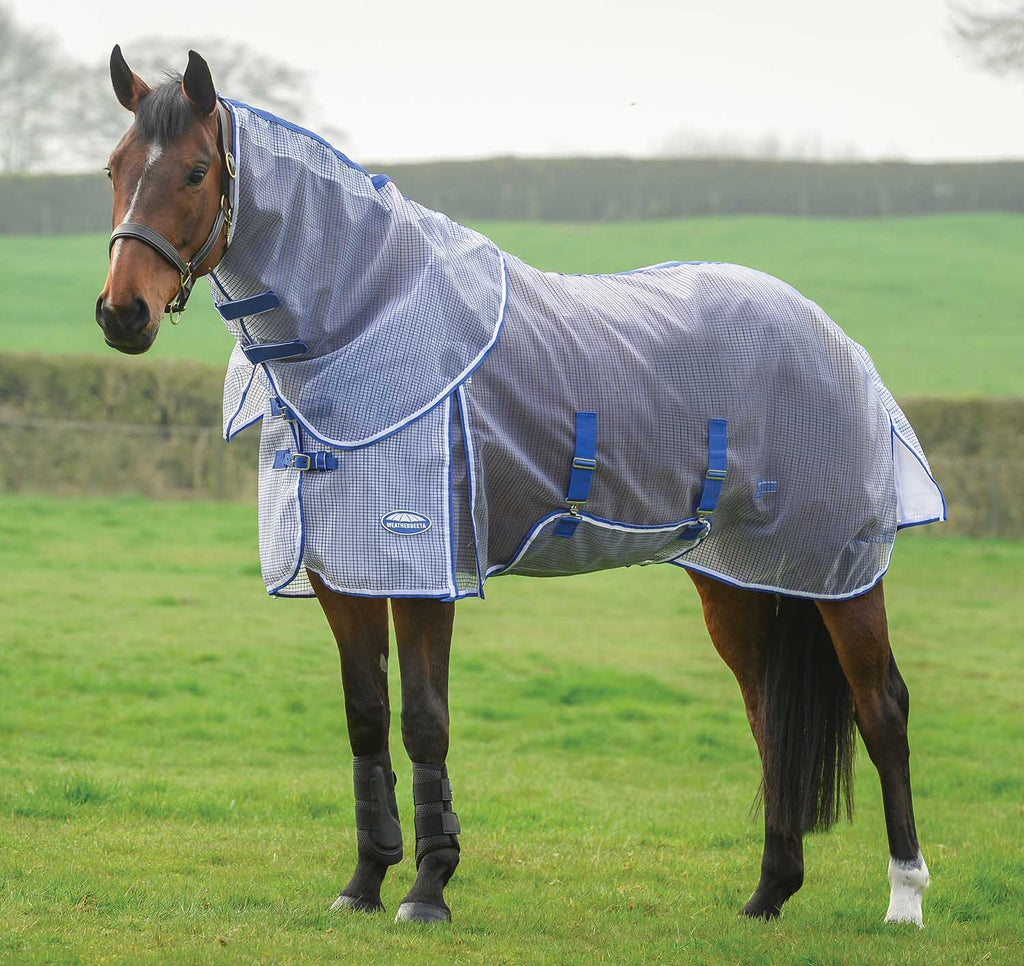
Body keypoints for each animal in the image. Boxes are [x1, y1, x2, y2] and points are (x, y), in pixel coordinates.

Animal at [95, 46, 941, 927]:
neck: (366, 325)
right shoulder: (343, 574)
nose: (122, 313)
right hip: (740, 578)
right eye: (114, 167)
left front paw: (428, 891)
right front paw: (363, 884)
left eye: (196, 171)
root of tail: (832, 335)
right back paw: (768, 894)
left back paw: (904, 901)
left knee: (882, 709)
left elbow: (424, 724)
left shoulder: (426, 575)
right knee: (769, 714)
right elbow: (366, 721)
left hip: (840, 571)